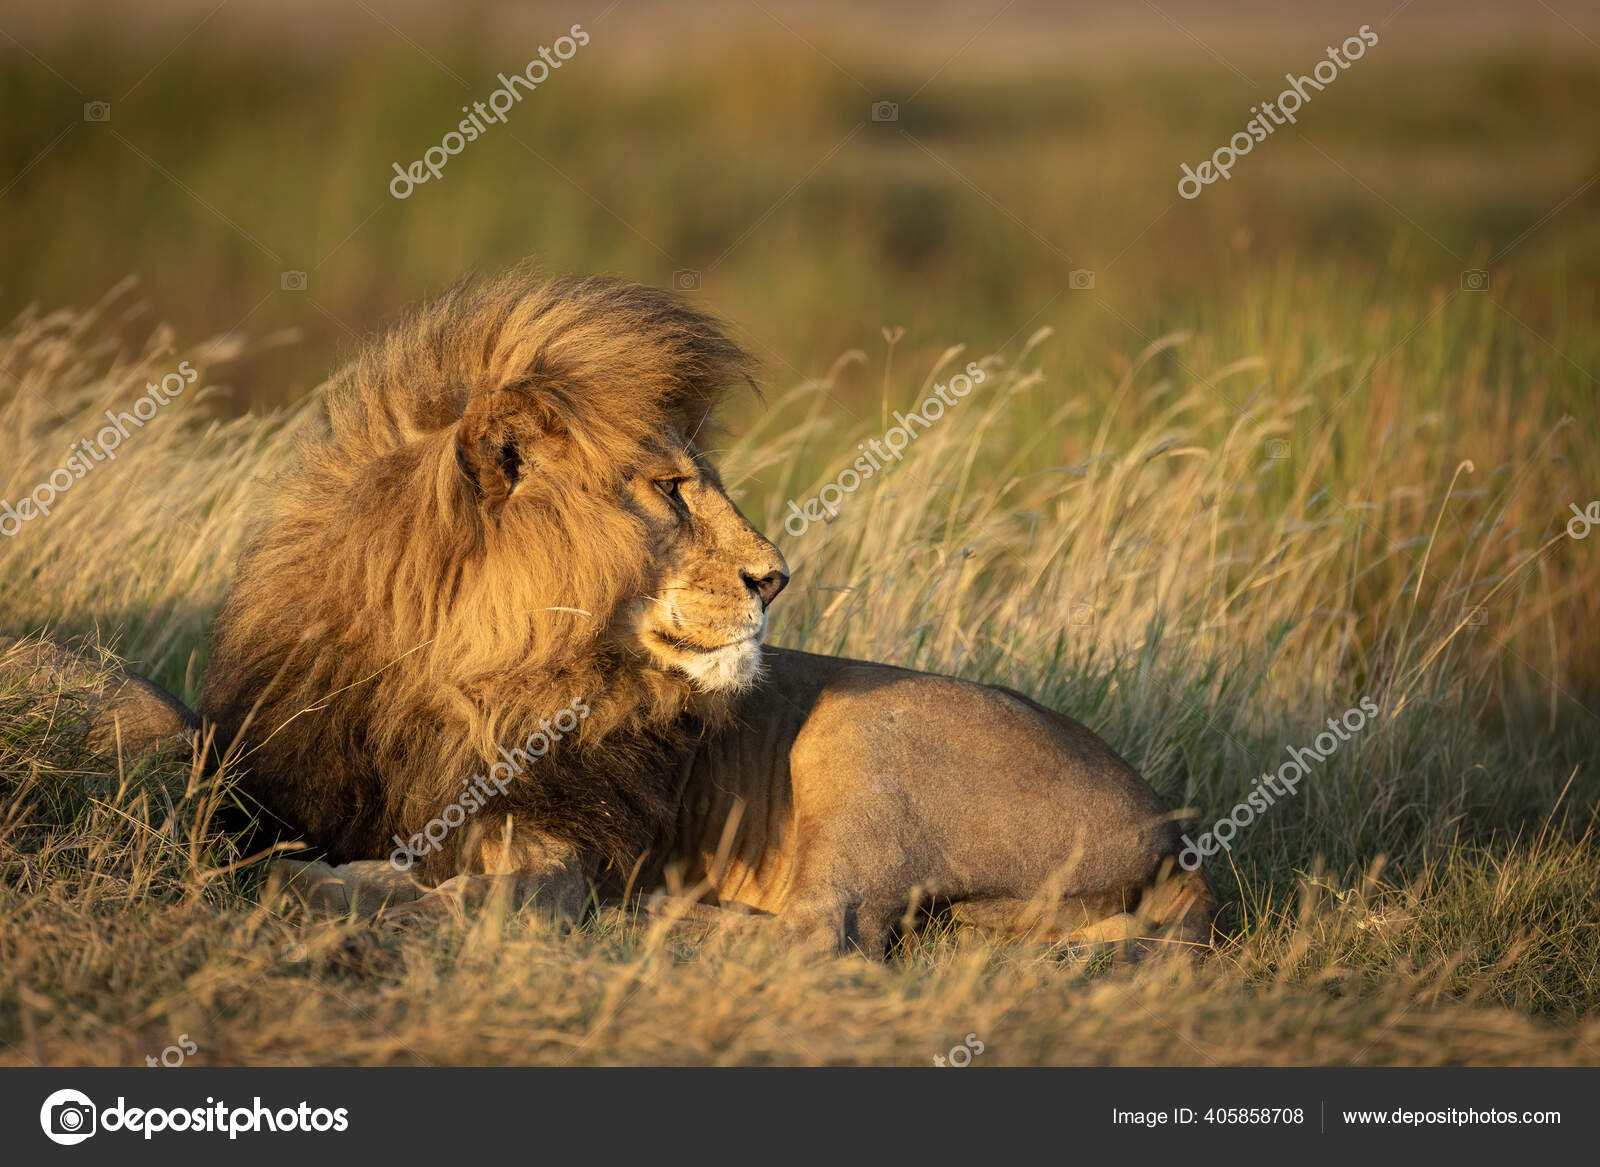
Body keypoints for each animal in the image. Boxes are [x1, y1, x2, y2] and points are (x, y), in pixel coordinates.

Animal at [199, 270, 1221, 955]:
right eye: (669, 489)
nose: (776, 577)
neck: (459, 675)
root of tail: (1177, 835)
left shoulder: (564, 848)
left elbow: (485, 896)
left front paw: (330, 891)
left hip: (863, 738)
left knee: (832, 935)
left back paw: (668, 917)